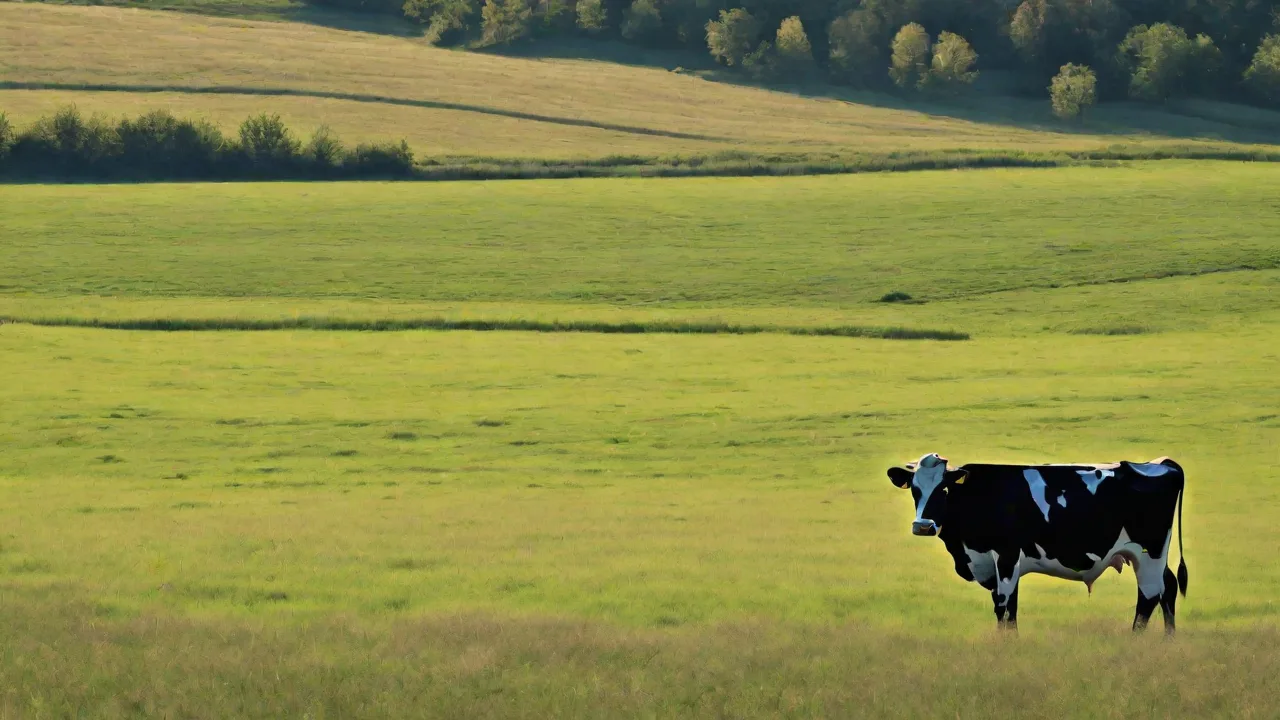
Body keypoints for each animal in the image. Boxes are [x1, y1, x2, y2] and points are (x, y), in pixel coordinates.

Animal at [887, 453, 1188, 632]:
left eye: (944, 489)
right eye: (915, 490)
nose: (923, 526)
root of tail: (1161, 462)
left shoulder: (1006, 556)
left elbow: (1004, 606)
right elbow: (1005, 608)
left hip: (1149, 552)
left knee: (1149, 596)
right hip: (1154, 554)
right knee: (1168, 587)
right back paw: (1168, 640)